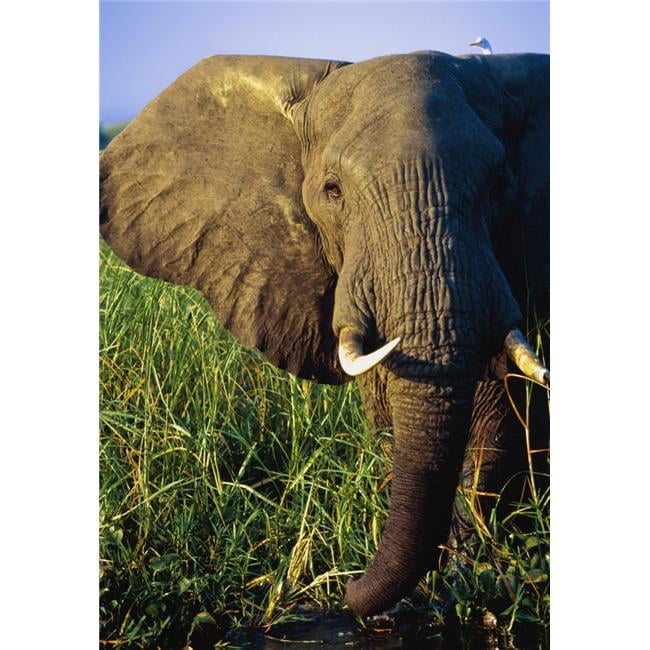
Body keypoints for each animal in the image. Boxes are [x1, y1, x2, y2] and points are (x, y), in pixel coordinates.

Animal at [99, 50, 549, 617]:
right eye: (332, 191)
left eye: (500, 187)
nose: (345, 587)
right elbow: (393, 416)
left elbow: (498, 413)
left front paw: (466, 576)